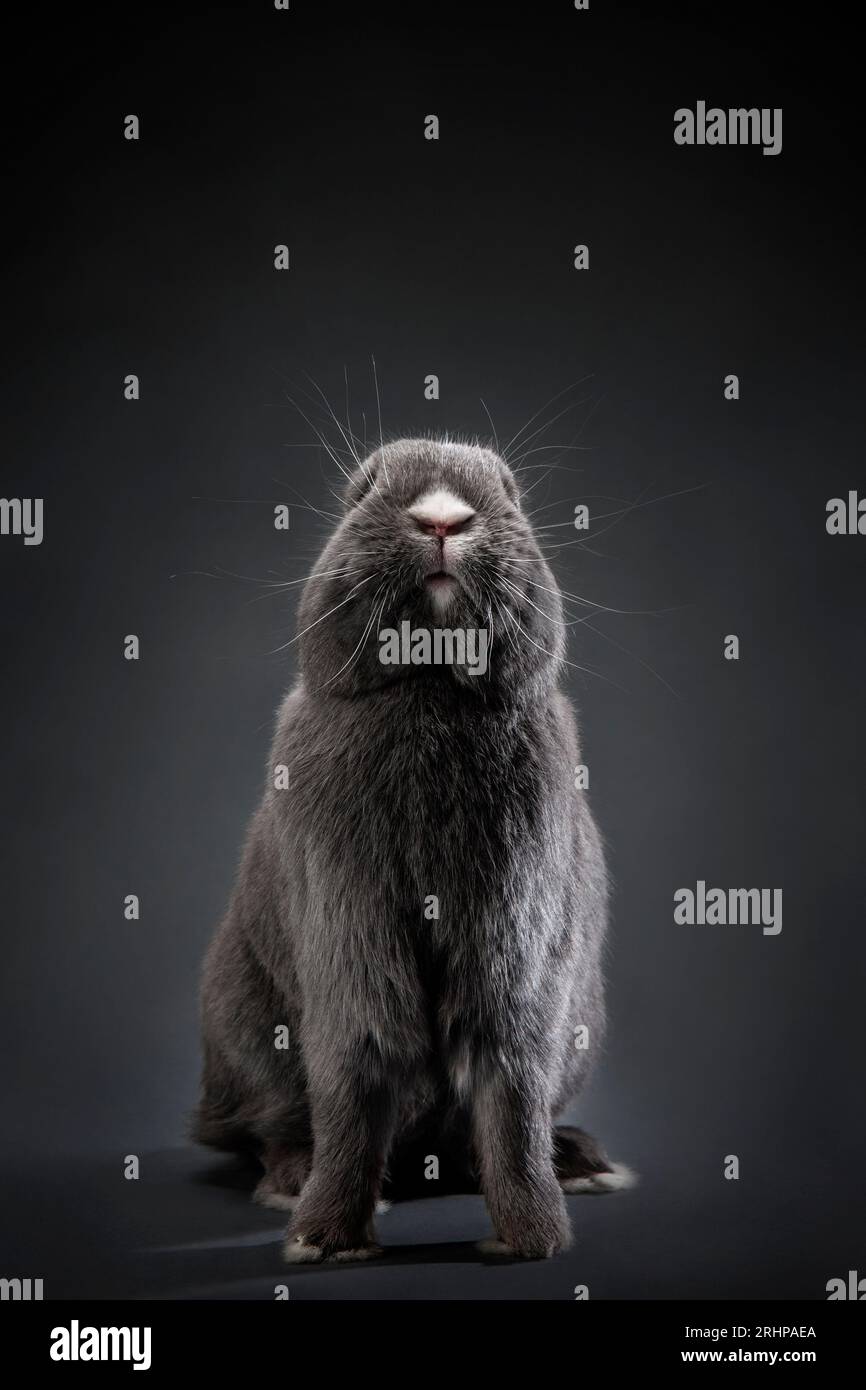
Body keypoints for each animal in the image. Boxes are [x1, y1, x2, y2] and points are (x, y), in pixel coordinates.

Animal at [193, 436, 632, 1263]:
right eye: (363, 489)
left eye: (509, 493)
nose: (440, 518)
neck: (430, 685)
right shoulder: (350, 938)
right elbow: (354, 1077)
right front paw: (324, 1238)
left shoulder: (514, 952)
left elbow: (510, 1089)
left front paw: (532, 1239)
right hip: (244, 1039)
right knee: (271, 1127)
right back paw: (292, 1178)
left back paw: (581, 1162)